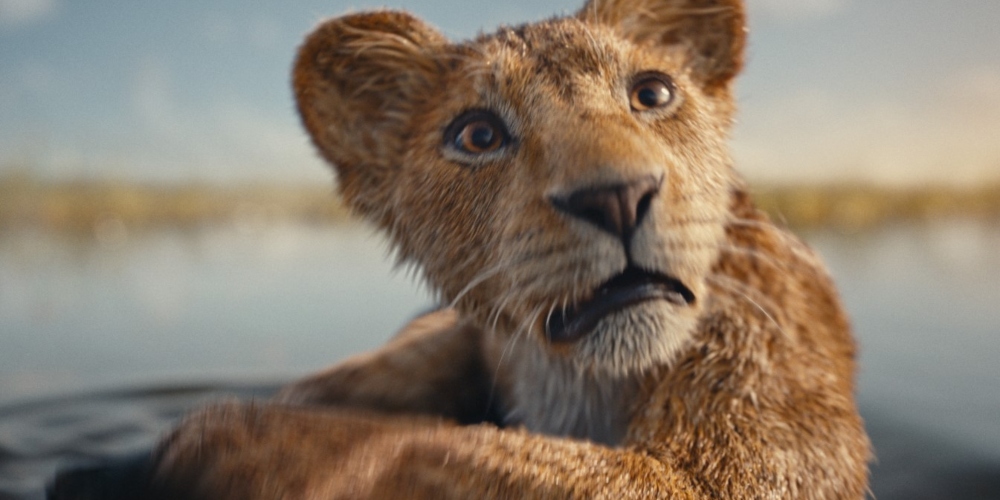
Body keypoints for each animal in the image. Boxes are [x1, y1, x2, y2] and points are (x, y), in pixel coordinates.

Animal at [50, 0, 871, 498]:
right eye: (478, 134)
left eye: (653, 93)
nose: (617, 196)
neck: (576, 379)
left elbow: (422, 447)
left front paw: (220, 441)